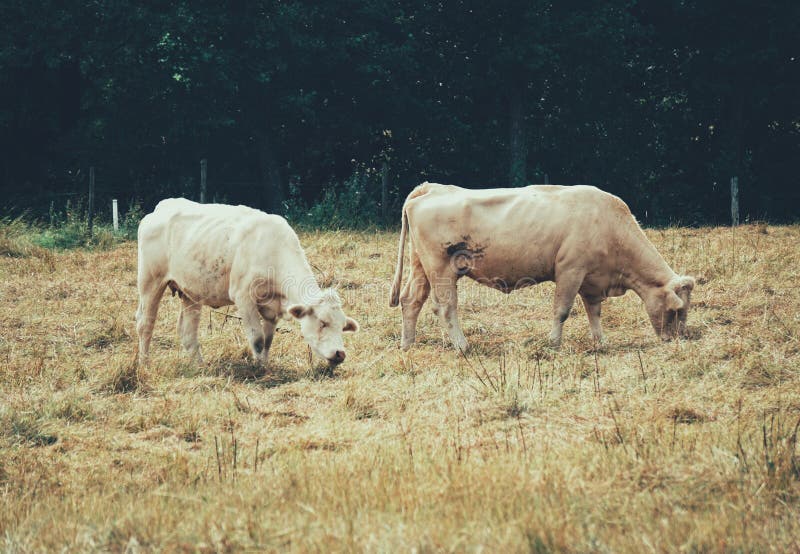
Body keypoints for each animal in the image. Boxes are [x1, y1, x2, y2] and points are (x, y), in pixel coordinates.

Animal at [136, 198, 359, 367]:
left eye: (342, 327)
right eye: (322, 322)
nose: (340, 354)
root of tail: (161, 208)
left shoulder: (272, 310)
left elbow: (267, 340)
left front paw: (264, 365)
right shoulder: (243, 297)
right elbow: (257, 338)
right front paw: (257, 369)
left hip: (191, 292)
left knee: (187, 332)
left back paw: (199, 366)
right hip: (150, 282)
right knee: (145, 323)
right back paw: (144, 363)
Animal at [389, 182, 695, 350]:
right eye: (676, 310)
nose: (676, 340)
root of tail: (432, 188)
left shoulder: (592, 279)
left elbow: (594, 312)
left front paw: (600, 341)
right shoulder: (570, 270)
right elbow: (562, 311)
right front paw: (553, 344)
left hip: (420, 267)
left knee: (411, 300)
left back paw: (407, 344)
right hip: (442, 270)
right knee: (445, 307)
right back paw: (463, 346)